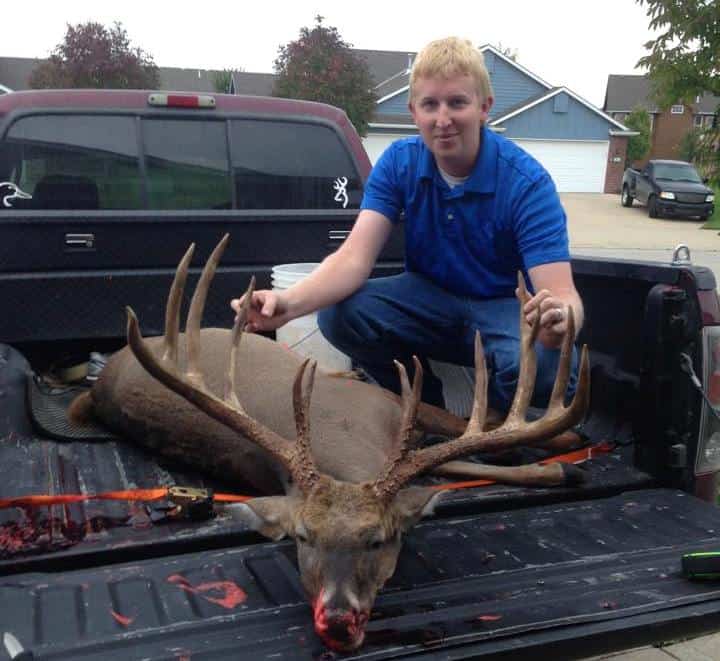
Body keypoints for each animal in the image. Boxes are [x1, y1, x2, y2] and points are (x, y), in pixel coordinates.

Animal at [68, 234, 589, 652]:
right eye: (303, 537)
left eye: (380, 539)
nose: (337, 622)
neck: (354, 447)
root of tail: (98, 385)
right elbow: (471, 462)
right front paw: (564, 463)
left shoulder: (389, 403)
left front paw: (567, 445)